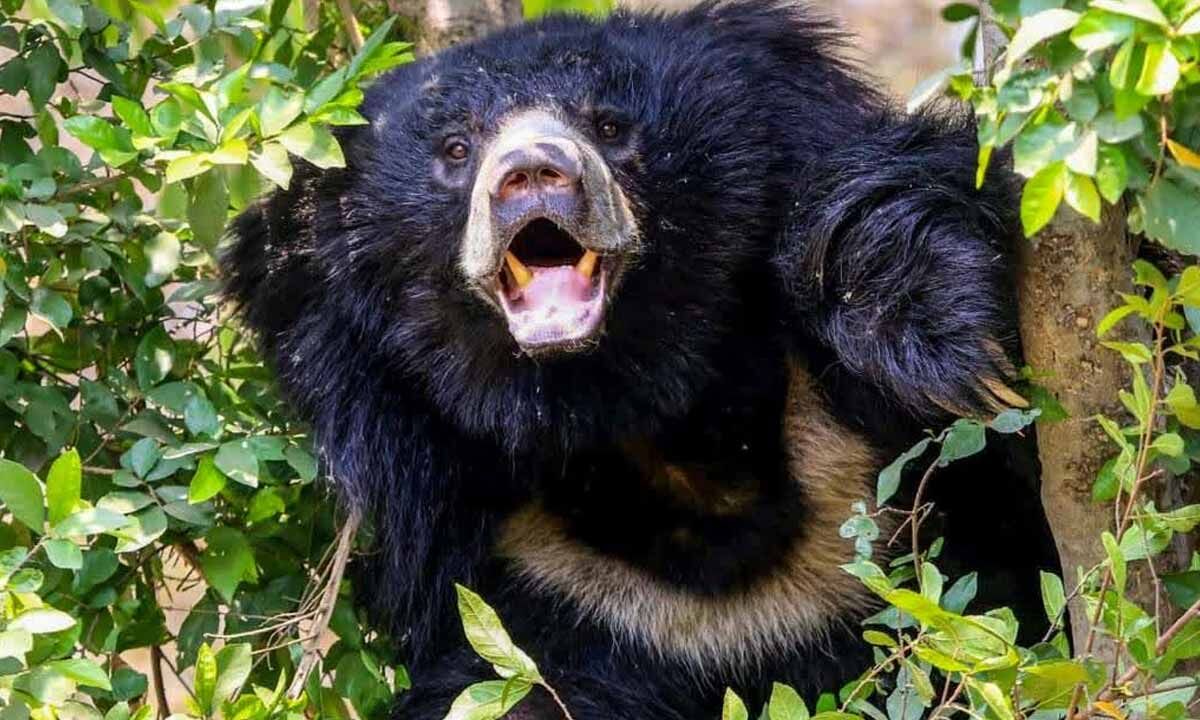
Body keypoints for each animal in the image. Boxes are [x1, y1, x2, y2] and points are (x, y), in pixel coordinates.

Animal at [221, 2, 1060, 717]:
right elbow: (509, 686)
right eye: (457, 150)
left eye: (610, 125)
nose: (533, 172)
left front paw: (950, 341)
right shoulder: (539, 581)